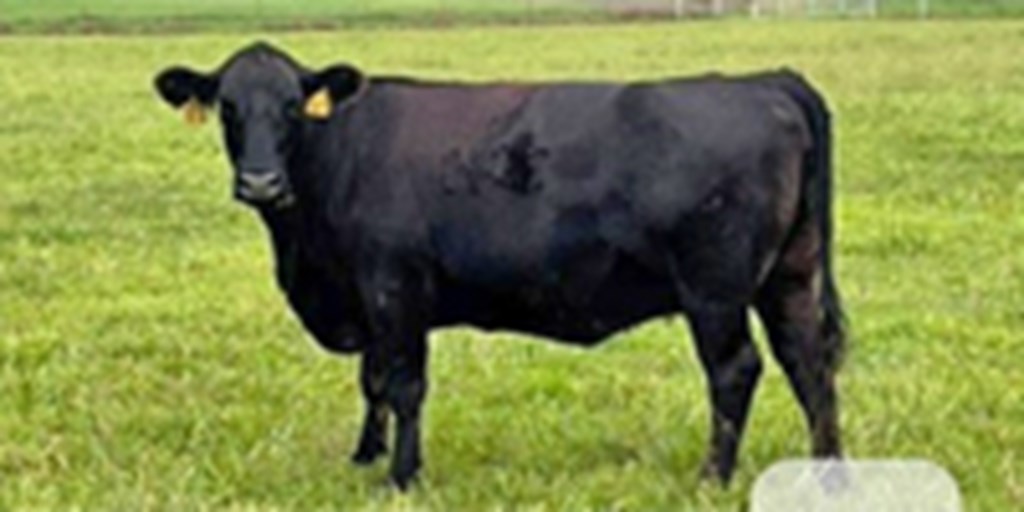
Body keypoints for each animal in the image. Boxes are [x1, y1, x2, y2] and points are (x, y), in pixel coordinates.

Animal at [154, 42, 845, 490]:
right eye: (227, 107)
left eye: (294, 106)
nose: (261, 182)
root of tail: (764, 81)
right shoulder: (369, 297)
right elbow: (372, 381)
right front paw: (364, 457)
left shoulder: (393, 287)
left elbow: (404, 384)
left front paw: (401, 479)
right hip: (790, 275)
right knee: (809, 363)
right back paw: (829, 474)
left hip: (715, 291)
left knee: (736, 371)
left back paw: (712, 478)